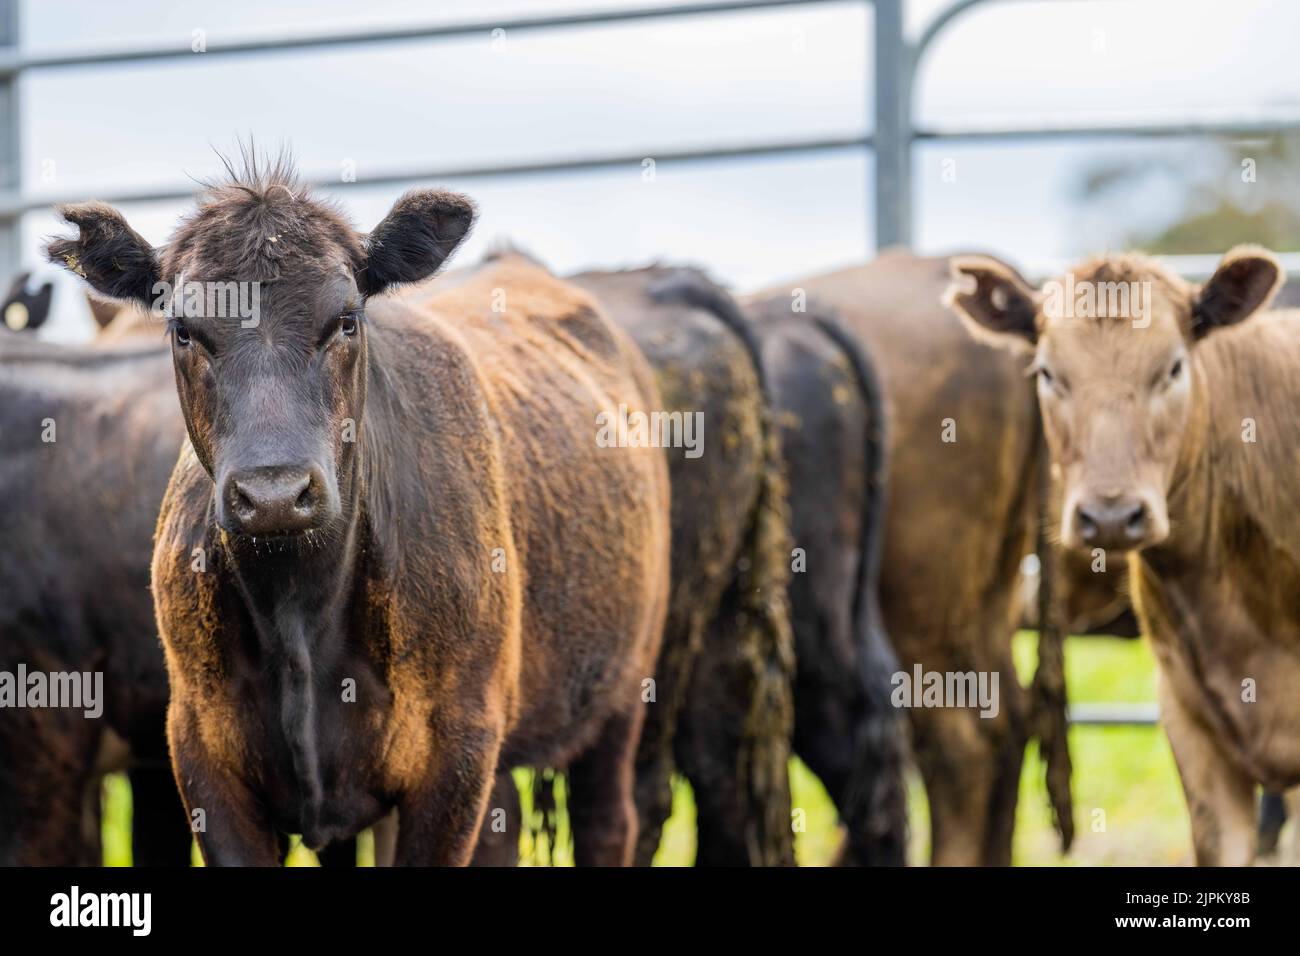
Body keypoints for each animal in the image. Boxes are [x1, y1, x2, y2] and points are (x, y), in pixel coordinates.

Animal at [46, 158, 672, 866]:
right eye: (184, 329)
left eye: (346, 320)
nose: (274, 493)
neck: (299, 614)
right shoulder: (201, 751)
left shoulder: (456, 756)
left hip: (622, 688)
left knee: (608, 820)